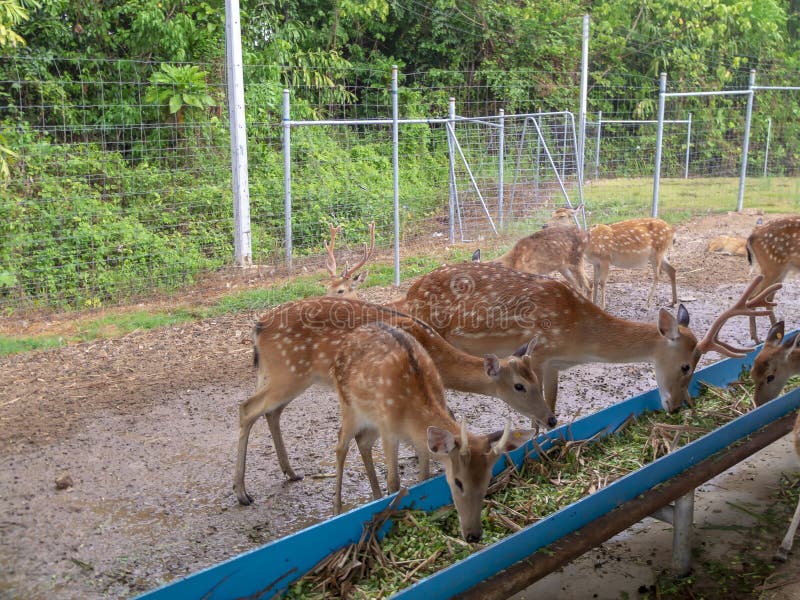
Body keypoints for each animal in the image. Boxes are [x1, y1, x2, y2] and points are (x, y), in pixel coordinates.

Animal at [233, 296, 555, 506]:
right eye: (519, 386)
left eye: (536, 380)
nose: (551, 418)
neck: (437, 356)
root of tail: (258, 329)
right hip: (288, 373)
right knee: (247, 408)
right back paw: (242, 493)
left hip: (281, 375)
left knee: (271, 413)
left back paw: (290, 472)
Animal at [332, 320, 532, 542]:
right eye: (458, 482)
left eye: (488, 478)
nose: (474, 535)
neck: (408, 415)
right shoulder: (388, 429)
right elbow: (394, 482)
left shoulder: (418, 439)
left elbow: (424, 476)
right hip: (349, 405)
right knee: (341, 445)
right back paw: (337, 508)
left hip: (369, 417)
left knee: (362, 441)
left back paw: (375, 496)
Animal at [394, 262, 778, 415]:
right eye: (686, 365)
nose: (674, 406)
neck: (579, 338)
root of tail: (407, 295)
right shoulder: (538, 352)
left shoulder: (554, 365)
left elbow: (551, 407)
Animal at [545, 207, 677, 309]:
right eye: (551, 214)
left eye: (561, 216)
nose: (544, 225)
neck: (589, 246)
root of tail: (672, 231)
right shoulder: (595, 263)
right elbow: (595, 282)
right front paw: (594, 303)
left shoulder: (606, 258)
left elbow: (602, 282)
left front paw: (603, 306)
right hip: (660, 253)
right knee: (672, 269)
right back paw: (673, 302)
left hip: (658, 252)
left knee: (658, 275)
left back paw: (647, 304)